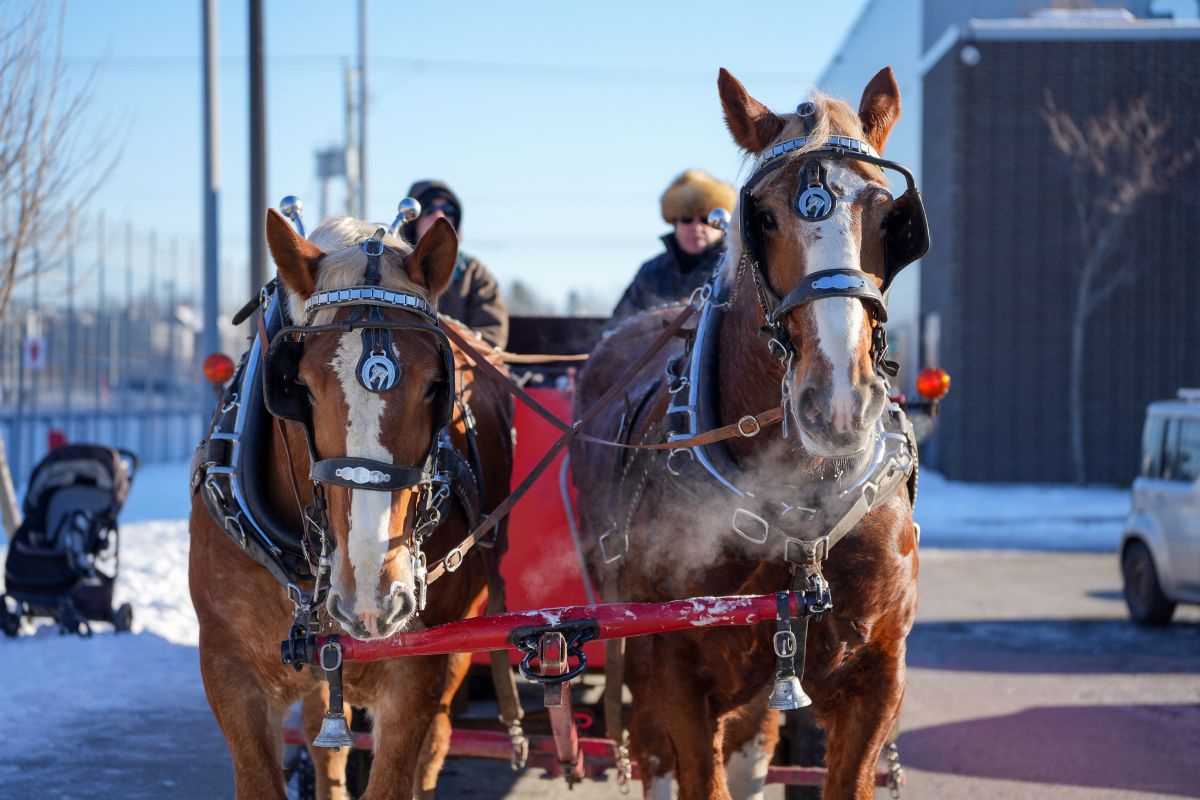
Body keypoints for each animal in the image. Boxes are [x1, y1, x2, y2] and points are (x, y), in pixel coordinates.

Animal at [189, 211, 513, 799]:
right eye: (301, 387)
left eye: (436, 385)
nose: (370, 596)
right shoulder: (228, 667)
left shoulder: (416, 673)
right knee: (323, 738)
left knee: (435, 746)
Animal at [570, 67, 925, 800]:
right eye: (763, 217)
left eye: (890, 217)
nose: (838, 402)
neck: (801, 503)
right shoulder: (678, 665)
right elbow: (691, 771)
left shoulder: (878, 675)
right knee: (652, 747)